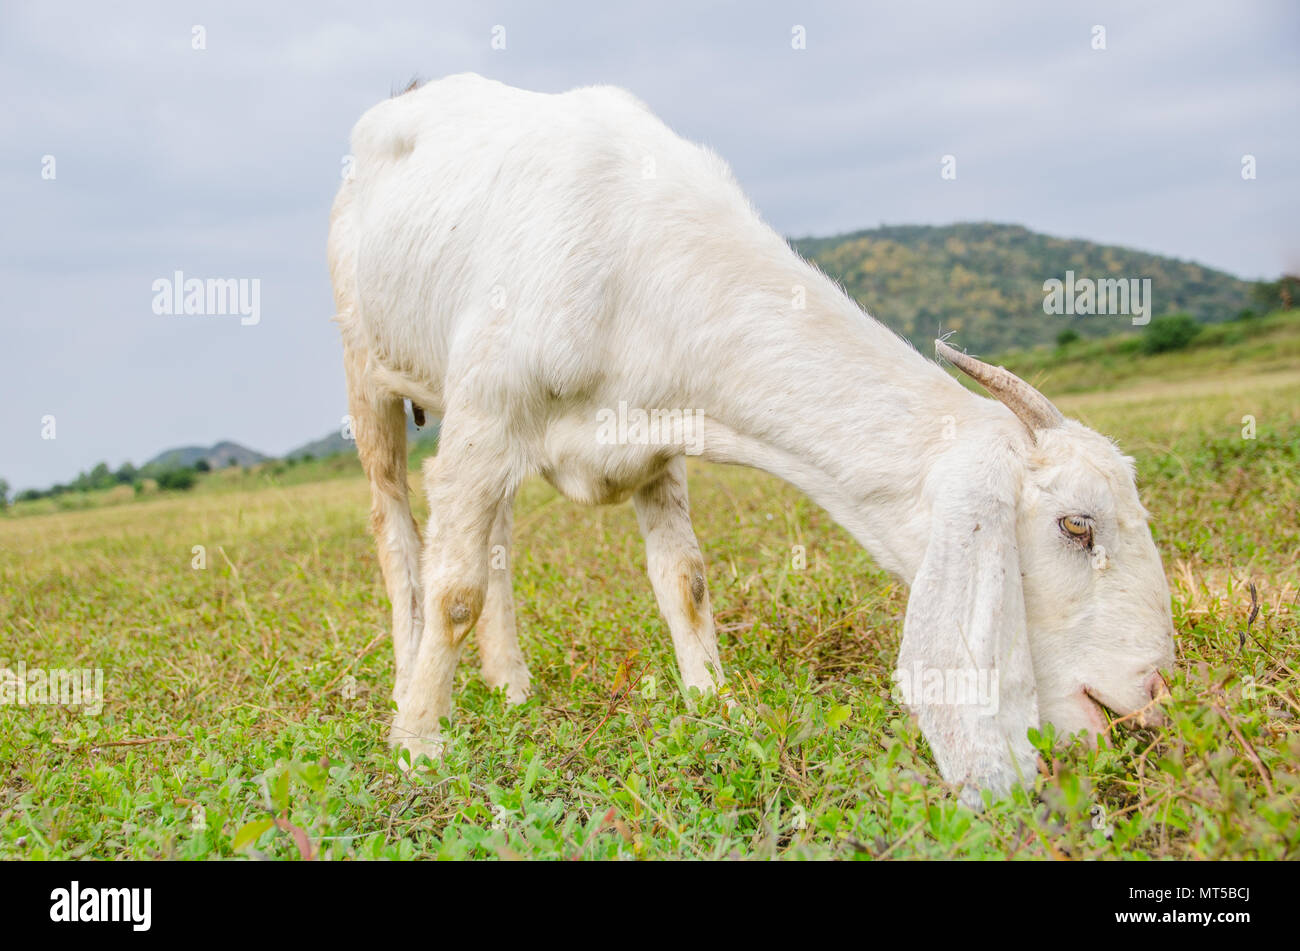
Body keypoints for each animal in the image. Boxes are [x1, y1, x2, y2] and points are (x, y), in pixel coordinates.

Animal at [328, 74, 1176, 806]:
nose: (1152, 695)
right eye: (1076, 525)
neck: (633, 250)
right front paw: (418, 744)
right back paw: (411, 680)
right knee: (396, 526)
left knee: (495, 534)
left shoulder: (647, 439)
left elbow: (685, 580)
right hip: (368, 368)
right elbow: (454, 590)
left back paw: (511, 684)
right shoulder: (486, 413)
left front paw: (714, 706)